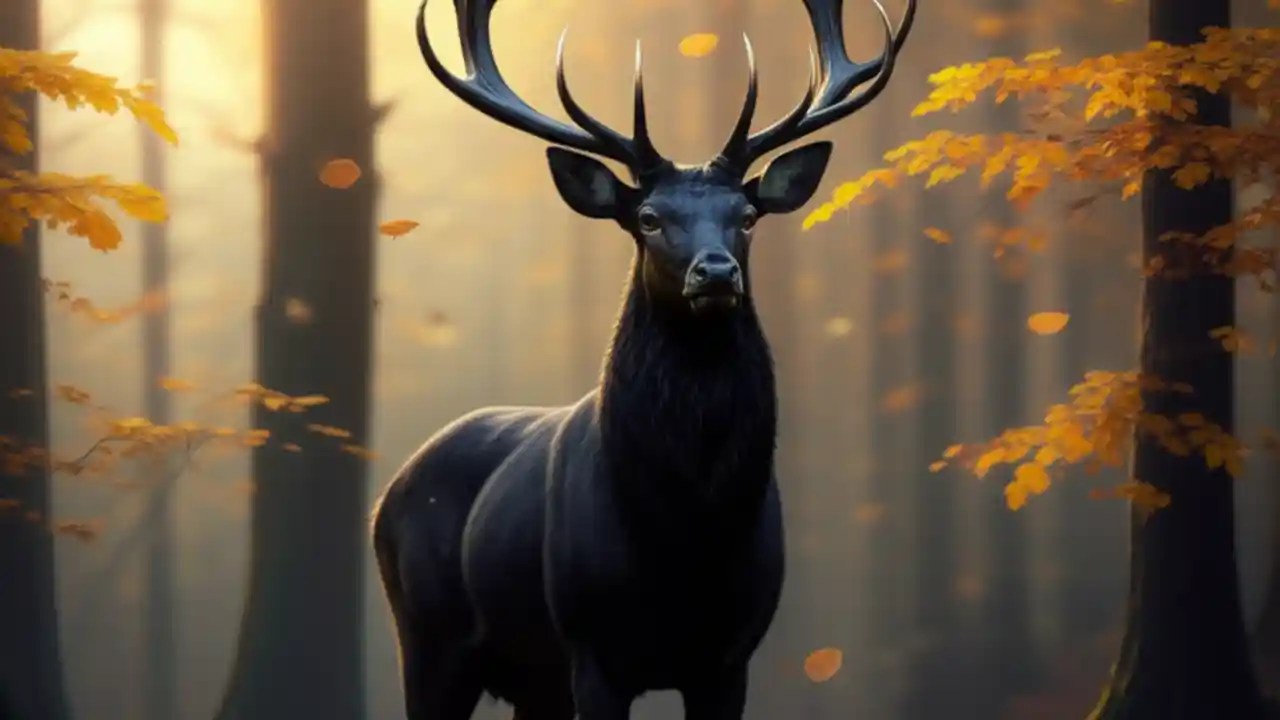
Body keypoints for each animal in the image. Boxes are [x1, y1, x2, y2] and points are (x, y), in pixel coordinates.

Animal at [372, 0, 916, 718]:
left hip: (531, 674)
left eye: (747, 215)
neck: (686, 534)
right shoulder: (593, 646)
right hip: (427, 638)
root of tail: (387, 494)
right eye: (650, 217)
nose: (715, 272)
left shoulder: (731, 655)